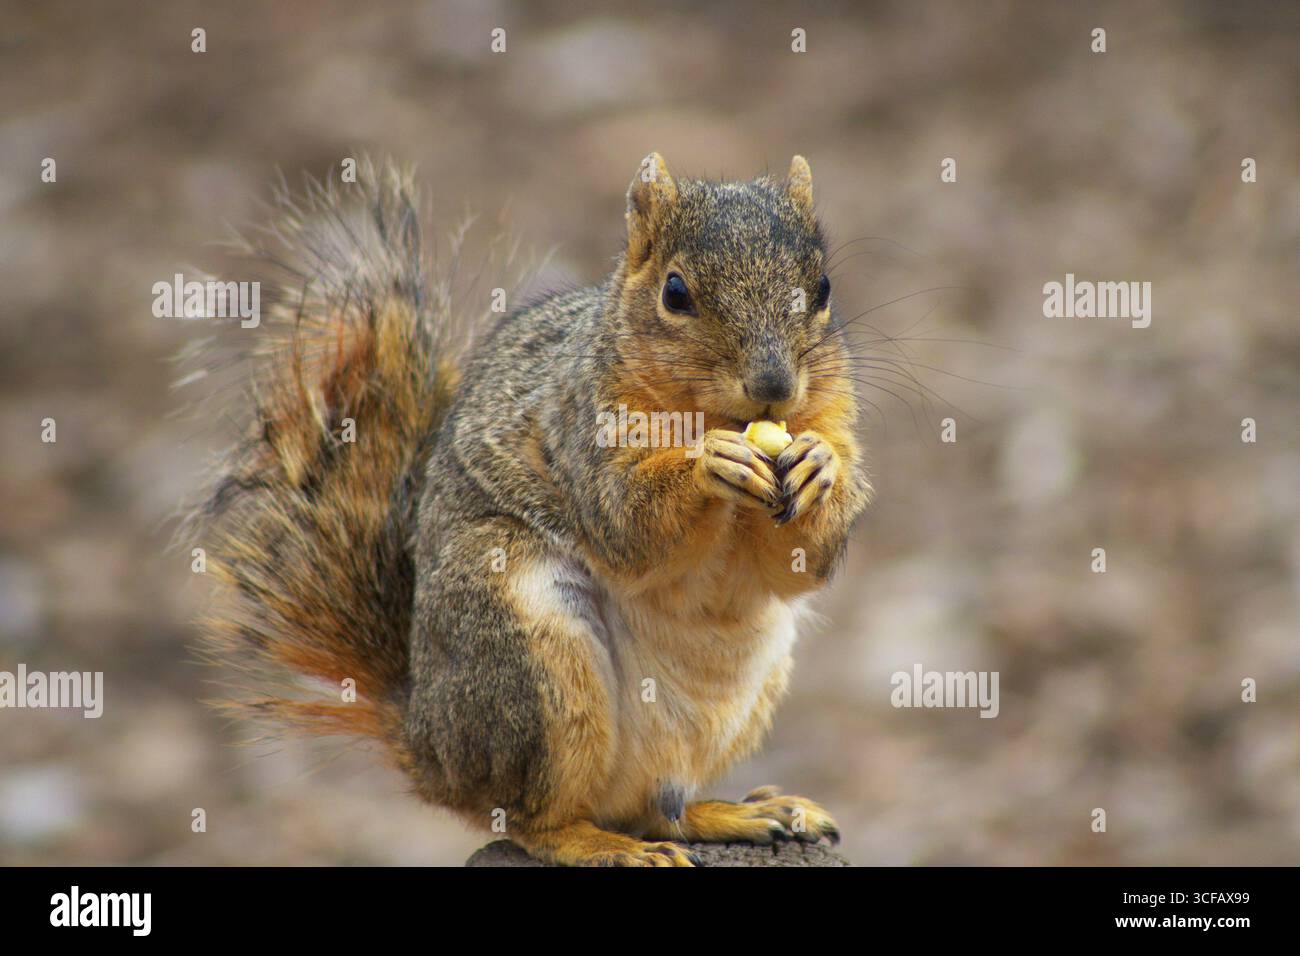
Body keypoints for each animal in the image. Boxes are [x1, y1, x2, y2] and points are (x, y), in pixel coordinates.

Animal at [191, 152, 872, 866]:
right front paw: (707, 462)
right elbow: (628, 525)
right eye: (676, 293)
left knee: (658, 810)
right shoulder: (579, 429)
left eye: (824, 287)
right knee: (531, 817)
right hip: (531, 662)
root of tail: (430, 743)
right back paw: (600, 844)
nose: (774, 387)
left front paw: (820, 466)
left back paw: (744, 813)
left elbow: (798, 565)